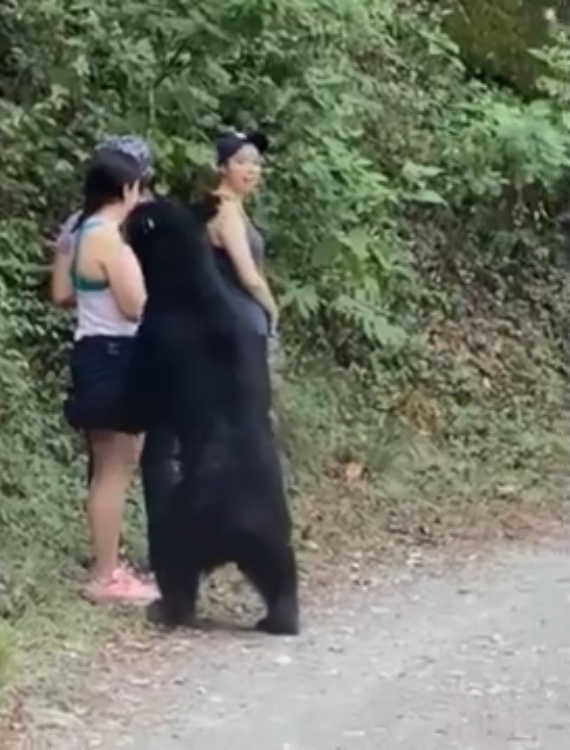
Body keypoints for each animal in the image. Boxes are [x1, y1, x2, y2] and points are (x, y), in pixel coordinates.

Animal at [122, 195, 300, 636]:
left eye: (137, 217)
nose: (122, 221)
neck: (187, 283)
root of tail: (238, 526)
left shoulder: (157, 335)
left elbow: (138, 401)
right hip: (274, 530)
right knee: (280, 572)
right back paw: (280, 617)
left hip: (183, 520)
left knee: (172, 560)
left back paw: (166, 609)